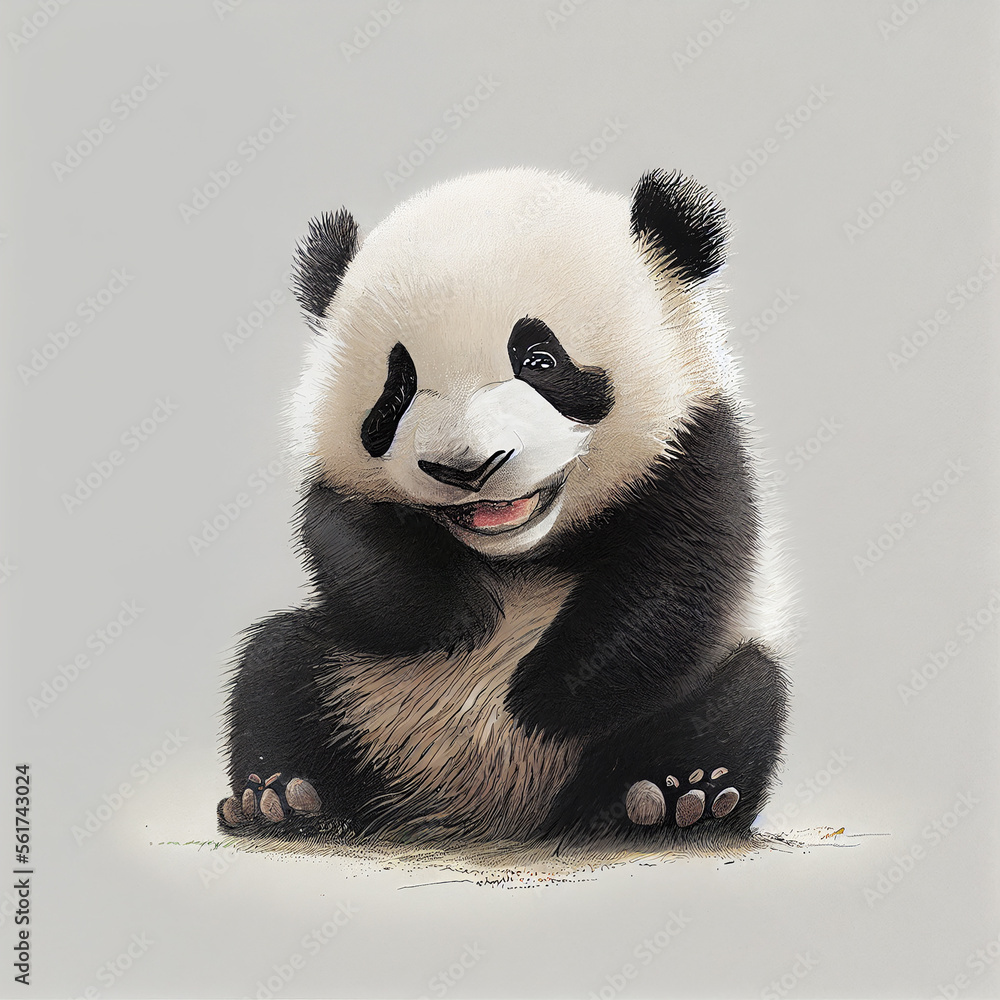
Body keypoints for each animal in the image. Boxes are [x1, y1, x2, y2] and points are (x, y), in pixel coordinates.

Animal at [218, 167, 792, 848]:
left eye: (539, 359)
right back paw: (284, 798)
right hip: (353, 681)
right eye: (398, 390)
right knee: (277, 665)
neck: (516, 554)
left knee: (741, 696)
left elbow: (678, 571)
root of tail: (487, 816)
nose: (467, 468)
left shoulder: (695, 445)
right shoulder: (344, 489)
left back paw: (673, 799)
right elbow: (348, 544)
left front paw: (542, 695)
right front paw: (456, 618)